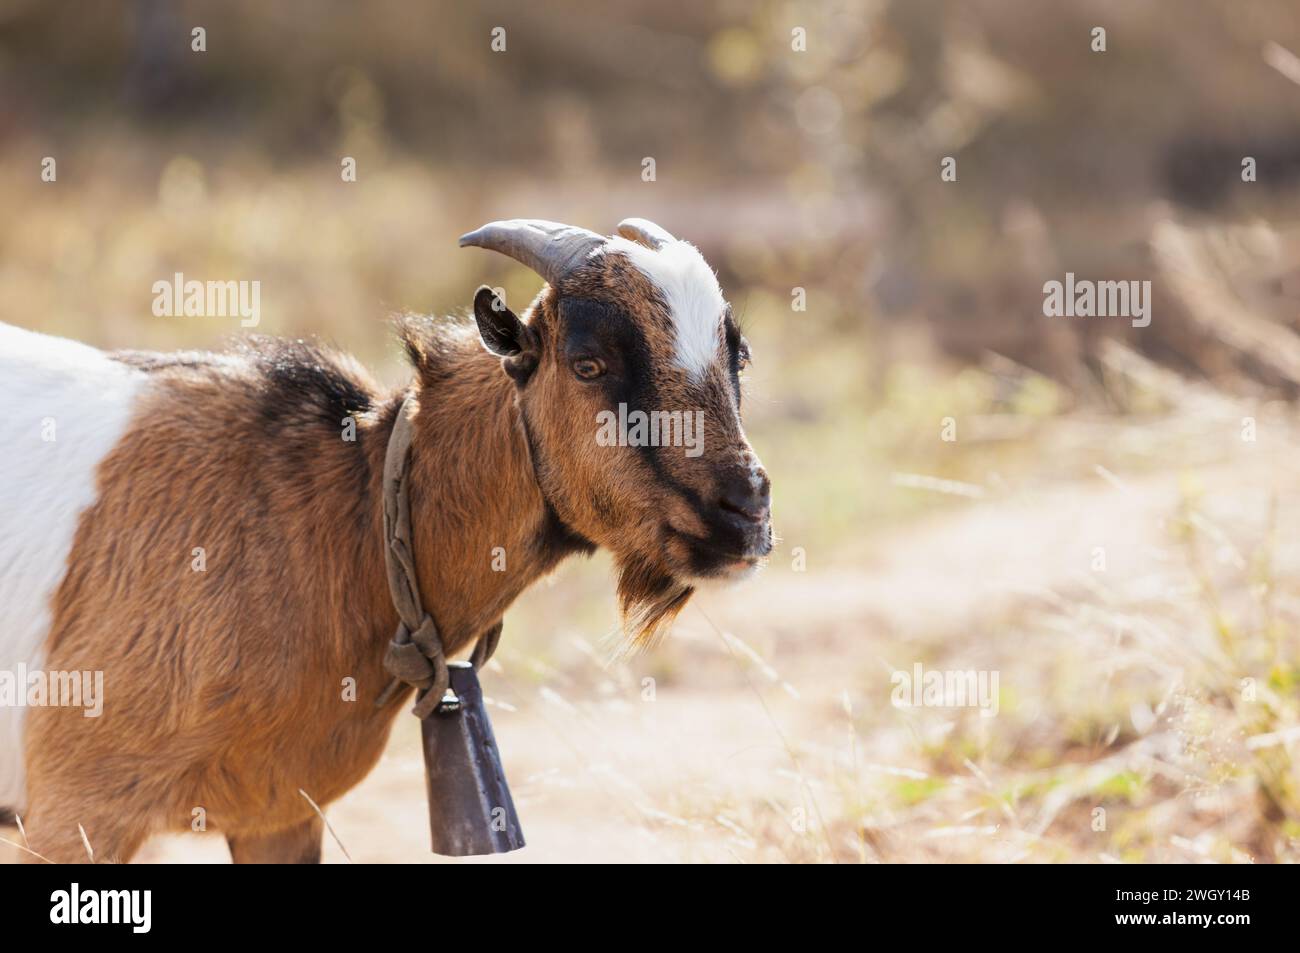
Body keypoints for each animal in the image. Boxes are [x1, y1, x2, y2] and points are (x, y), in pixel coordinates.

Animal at [0, 217, 772, 863]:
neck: (351, 518)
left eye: (739, 357)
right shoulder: (76, 810)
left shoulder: (278, 812)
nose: (747, 510)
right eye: (589, 364)